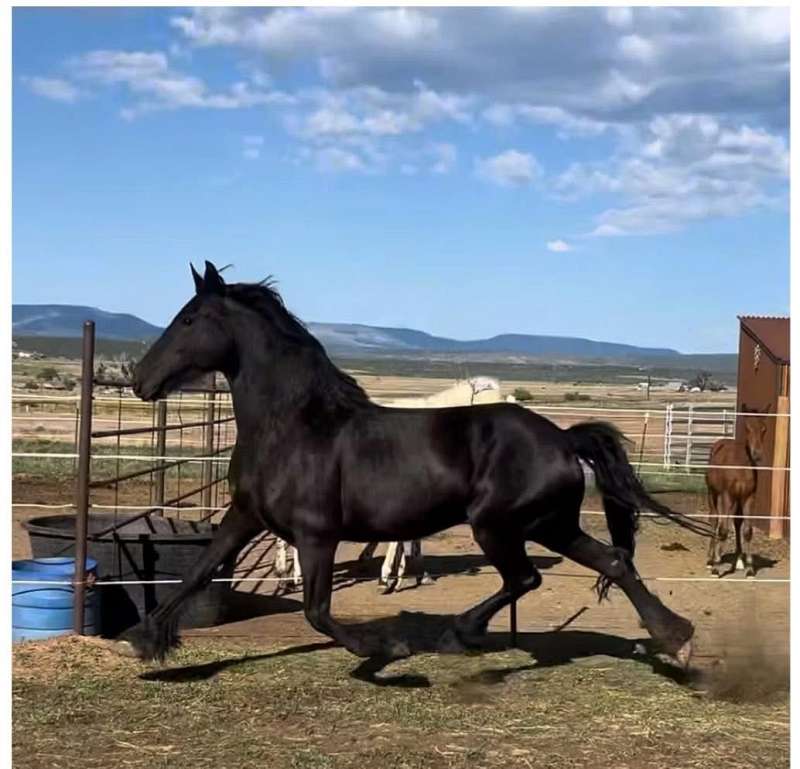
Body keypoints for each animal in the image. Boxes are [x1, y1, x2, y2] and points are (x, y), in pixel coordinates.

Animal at [126, 261, 712, 665]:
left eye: (189, 319)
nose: (139, 380)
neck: (293, 426)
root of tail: (564, 439)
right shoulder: (245, 515)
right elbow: (198, 572)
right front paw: (148, 639)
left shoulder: (317, 535)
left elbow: (318, 610)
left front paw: (383, 647)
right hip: (550, 524)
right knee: (611, 562)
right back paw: (676, 639)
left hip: (499, 525)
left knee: (526, 578)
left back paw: (461, 633)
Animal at [705, 405, 769, 578]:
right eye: (748, 427)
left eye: (764, 429)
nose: (757, 454)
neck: (741, 466)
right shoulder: (727, 495)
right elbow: (723, 529)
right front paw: (716, 567)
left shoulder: (749, 497)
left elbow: (747, 530)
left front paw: (750, 568)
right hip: (714, 494)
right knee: (715, 519)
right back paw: (710, 559)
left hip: (737, 500)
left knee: (737, 522)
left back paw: (739, 560)